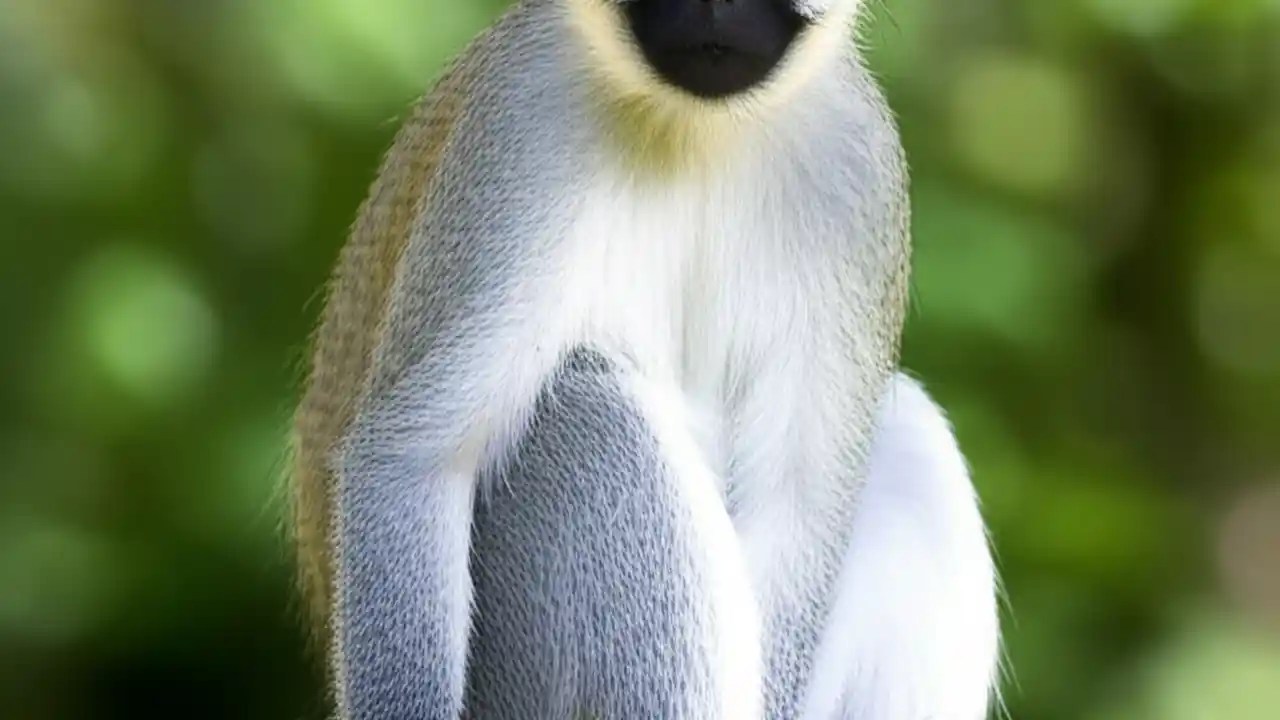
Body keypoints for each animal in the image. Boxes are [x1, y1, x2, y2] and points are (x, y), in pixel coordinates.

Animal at [291, 0, 1000, 718]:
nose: (716, 8)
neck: (695, 128)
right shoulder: (519, 117)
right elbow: (410, 459)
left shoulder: (857, 167)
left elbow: (800, 503)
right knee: (594, 407)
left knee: (910, 437)